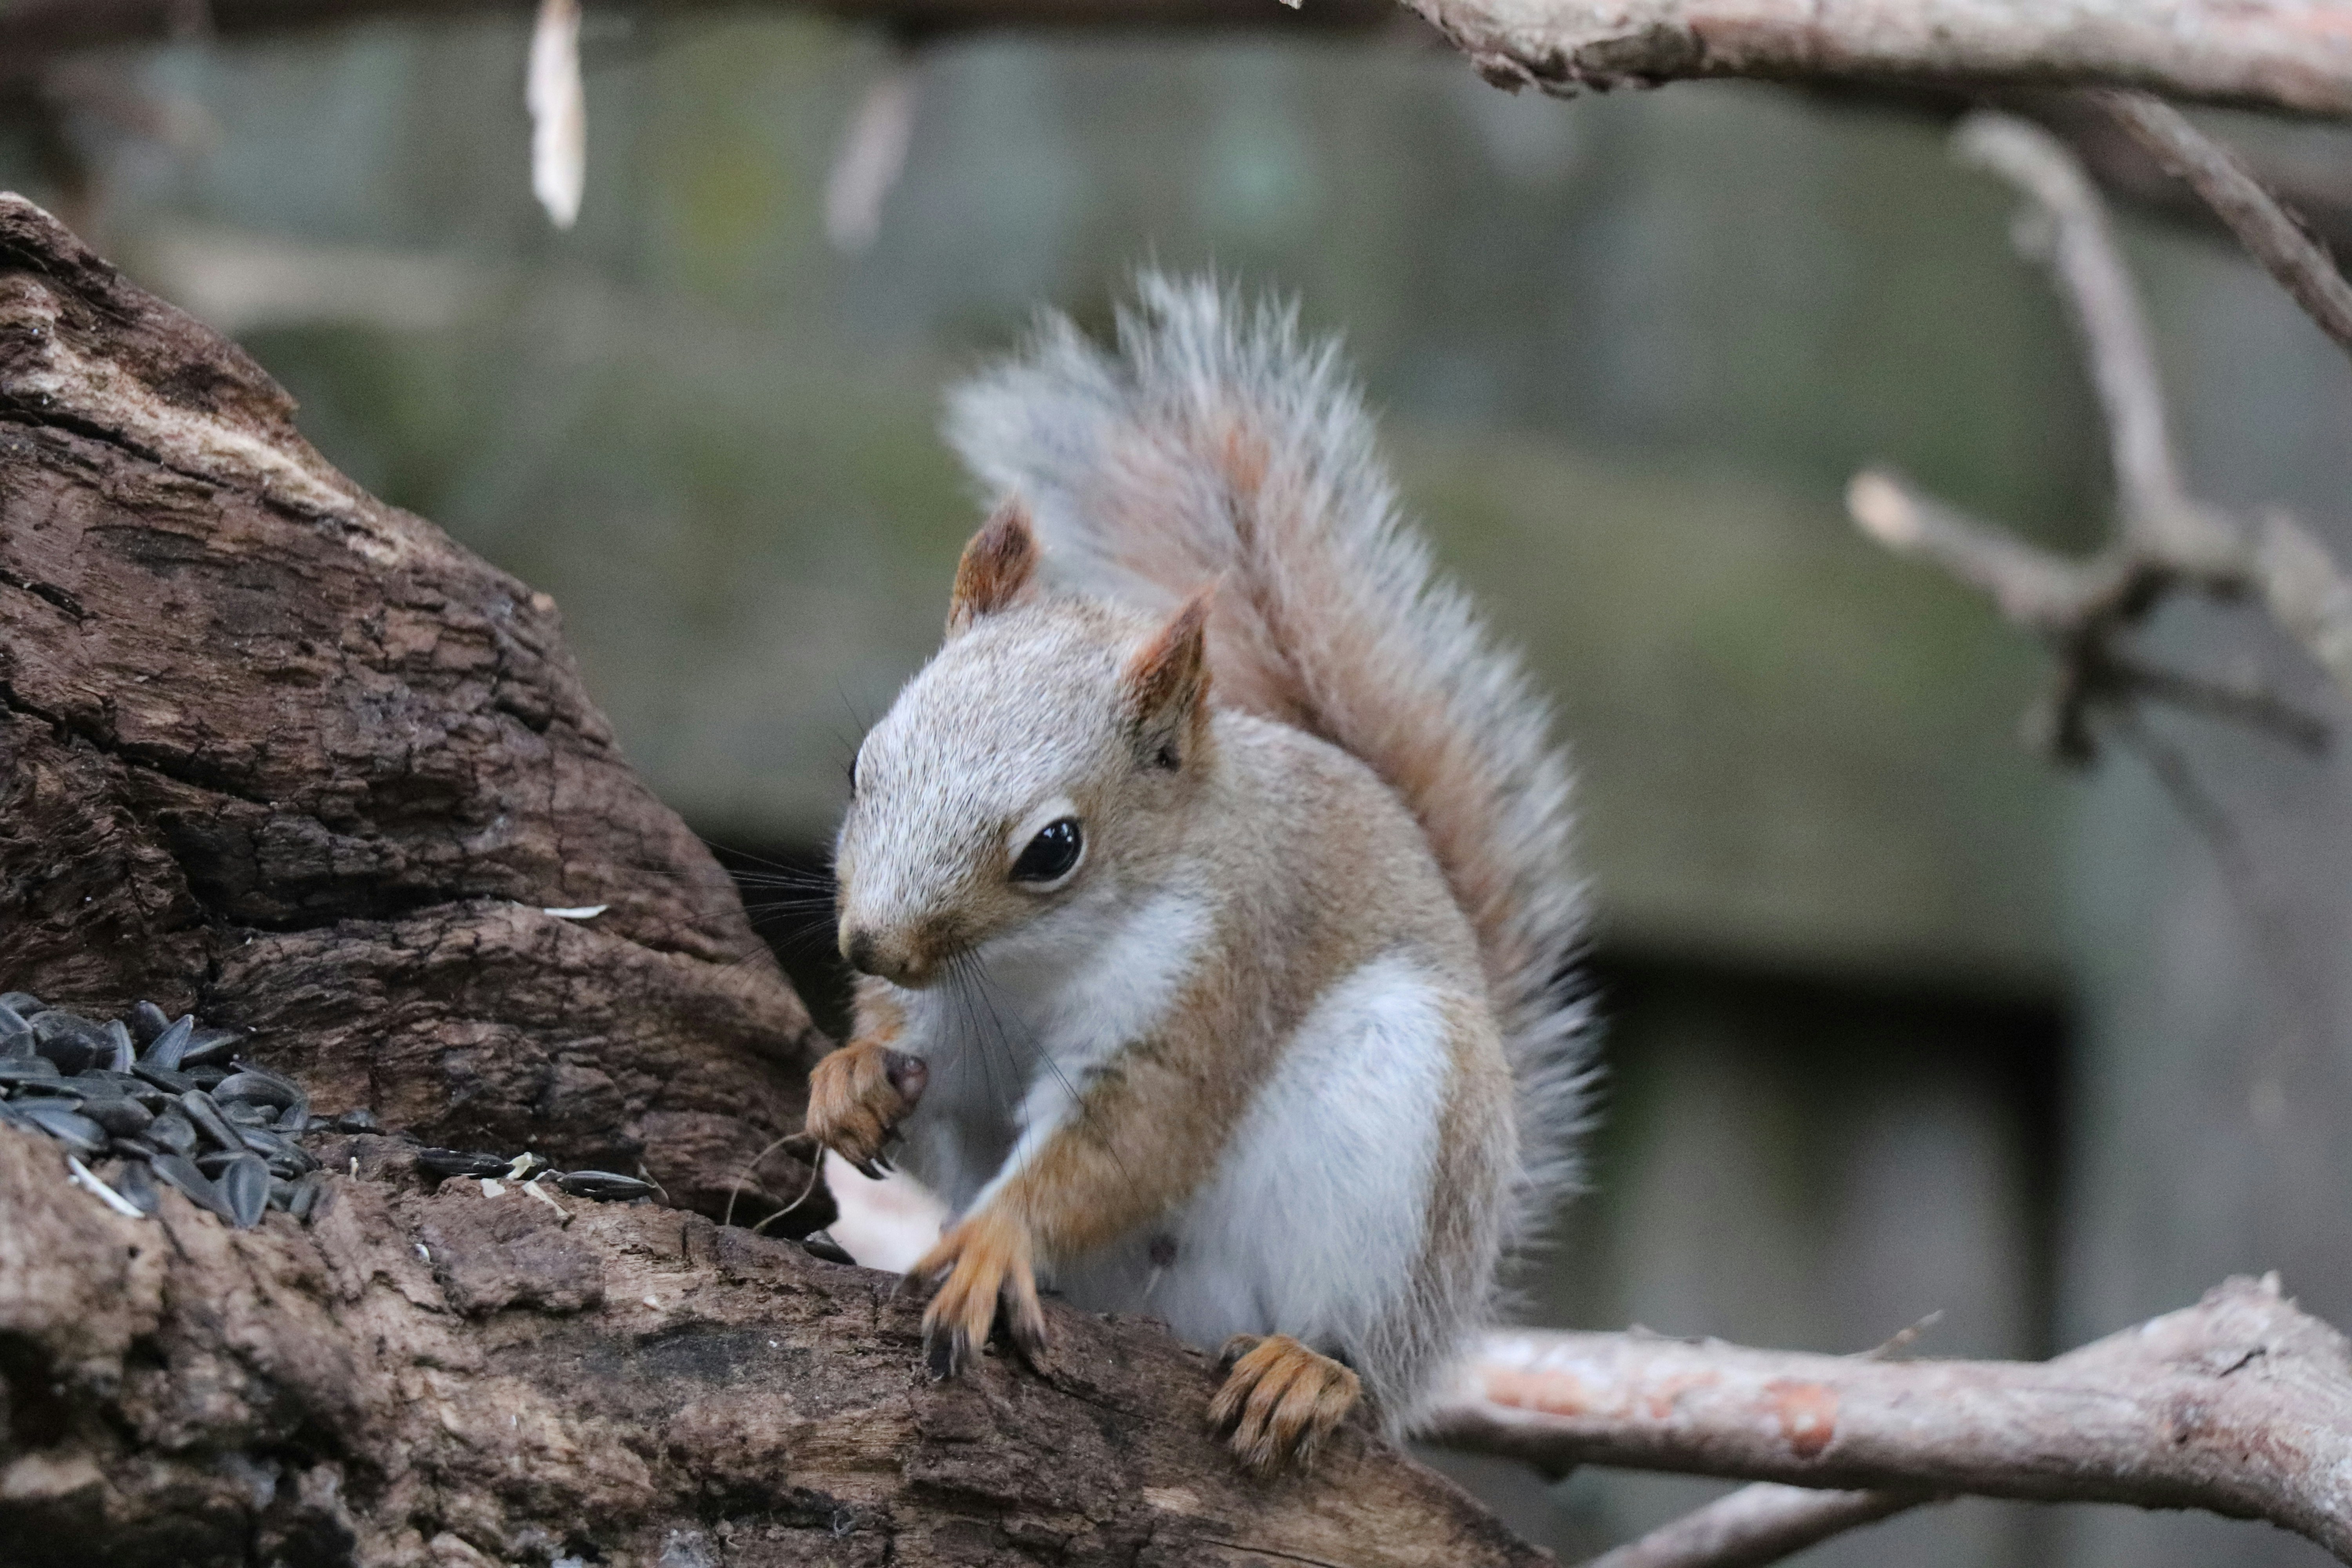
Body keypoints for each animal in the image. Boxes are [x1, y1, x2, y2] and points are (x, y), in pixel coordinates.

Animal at [806, 275, 1588, 1472]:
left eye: (1054, 848)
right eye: (862, 765)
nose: (872, 946)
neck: (1024, 972)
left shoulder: (1214, 978)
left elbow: (1130, 1144)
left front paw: (993, 1242)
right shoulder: (950, 1040)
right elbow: (942, 1121)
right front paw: (847, 1079)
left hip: (1413, 1124)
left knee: (1367, 1355)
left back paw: (1308, 1371)